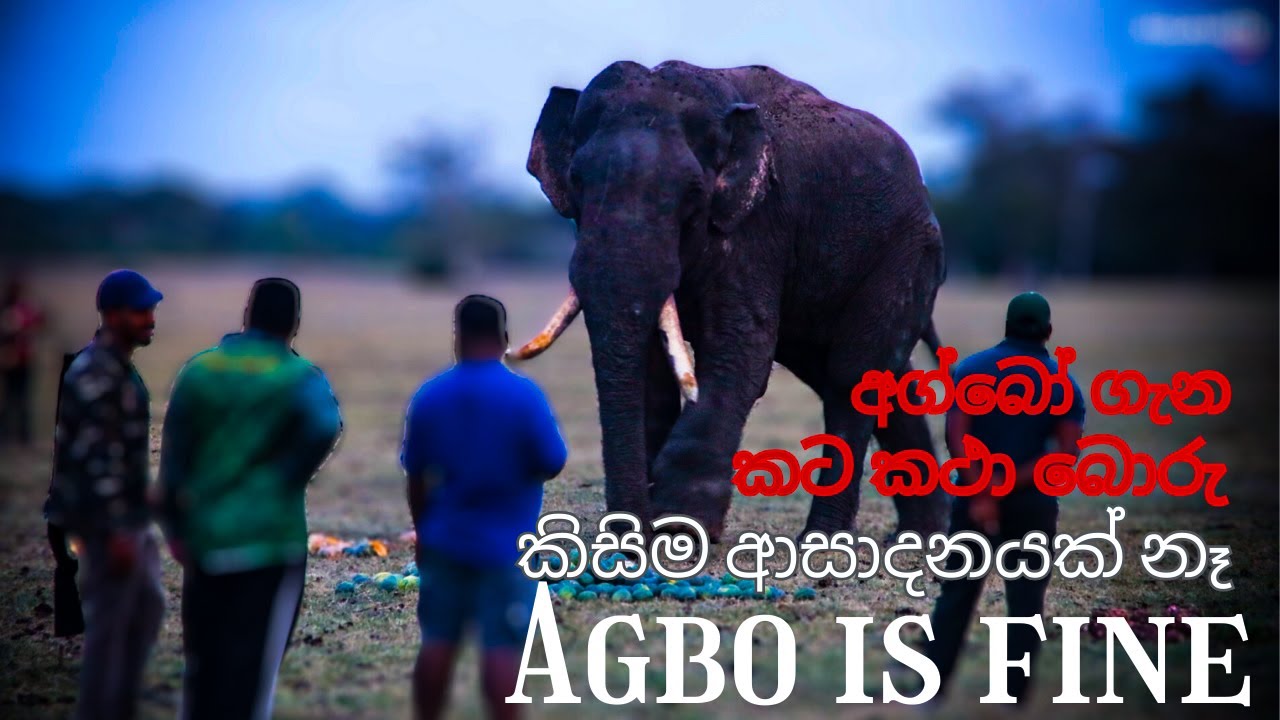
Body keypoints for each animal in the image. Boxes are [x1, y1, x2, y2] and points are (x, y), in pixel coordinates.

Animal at [512, 60, 949, 541]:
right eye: (576, 181)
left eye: (692, 193)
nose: (631, 534)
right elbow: (650, 365)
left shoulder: (757, 225)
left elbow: (739, 349)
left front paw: (681, 526)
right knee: (873, 374)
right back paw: (921, 536)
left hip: (907, 252)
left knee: (851, 378)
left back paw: (823, 540)